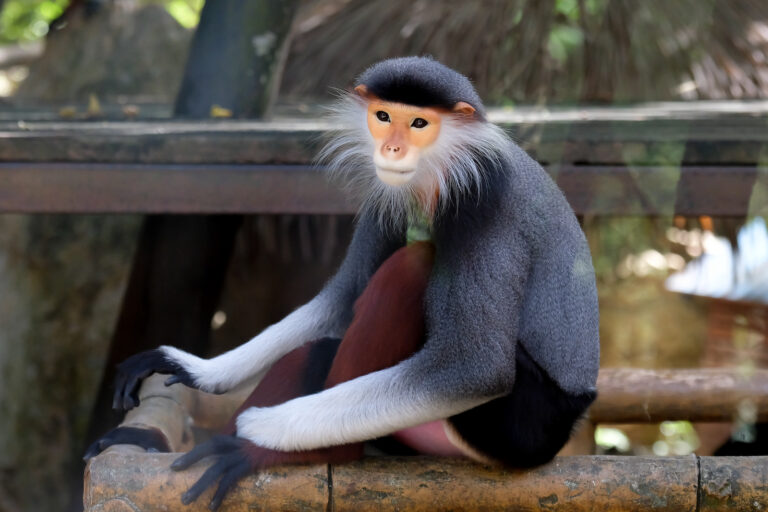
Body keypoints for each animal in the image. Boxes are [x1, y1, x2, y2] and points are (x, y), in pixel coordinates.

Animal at [86, 56, 600, 510]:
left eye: (419, 124)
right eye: (383, 117)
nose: (391, 149)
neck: (442, 173)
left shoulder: (482, 198)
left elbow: (477, 367)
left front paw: (259, 428)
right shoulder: (388, 193)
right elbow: (342, 297)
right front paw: (199, 369)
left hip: (510, 427)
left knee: (412, 268)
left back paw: (287, 452)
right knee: (319, 349)